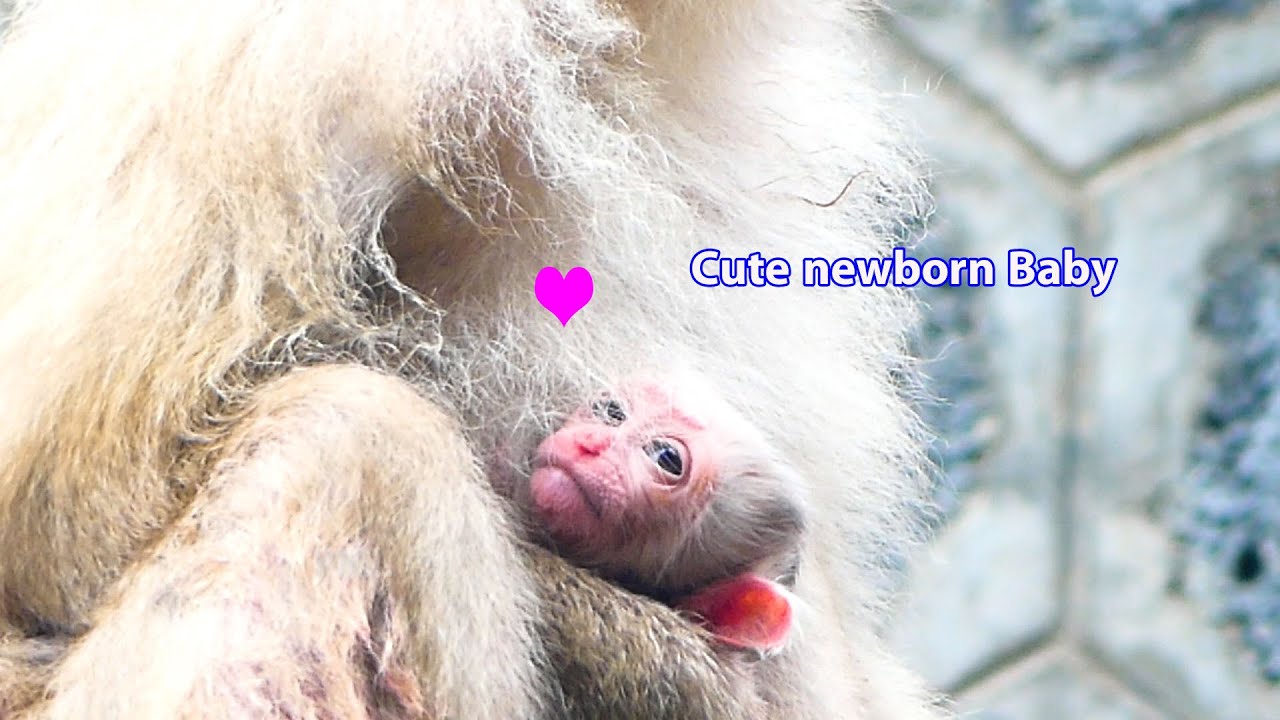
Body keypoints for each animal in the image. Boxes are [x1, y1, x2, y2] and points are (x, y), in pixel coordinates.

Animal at [0, 1, 946, 719]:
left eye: (663, 457)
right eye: (614, 425)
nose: (592, 447)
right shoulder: (342, 37)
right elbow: (68, 517)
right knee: (360, 433)